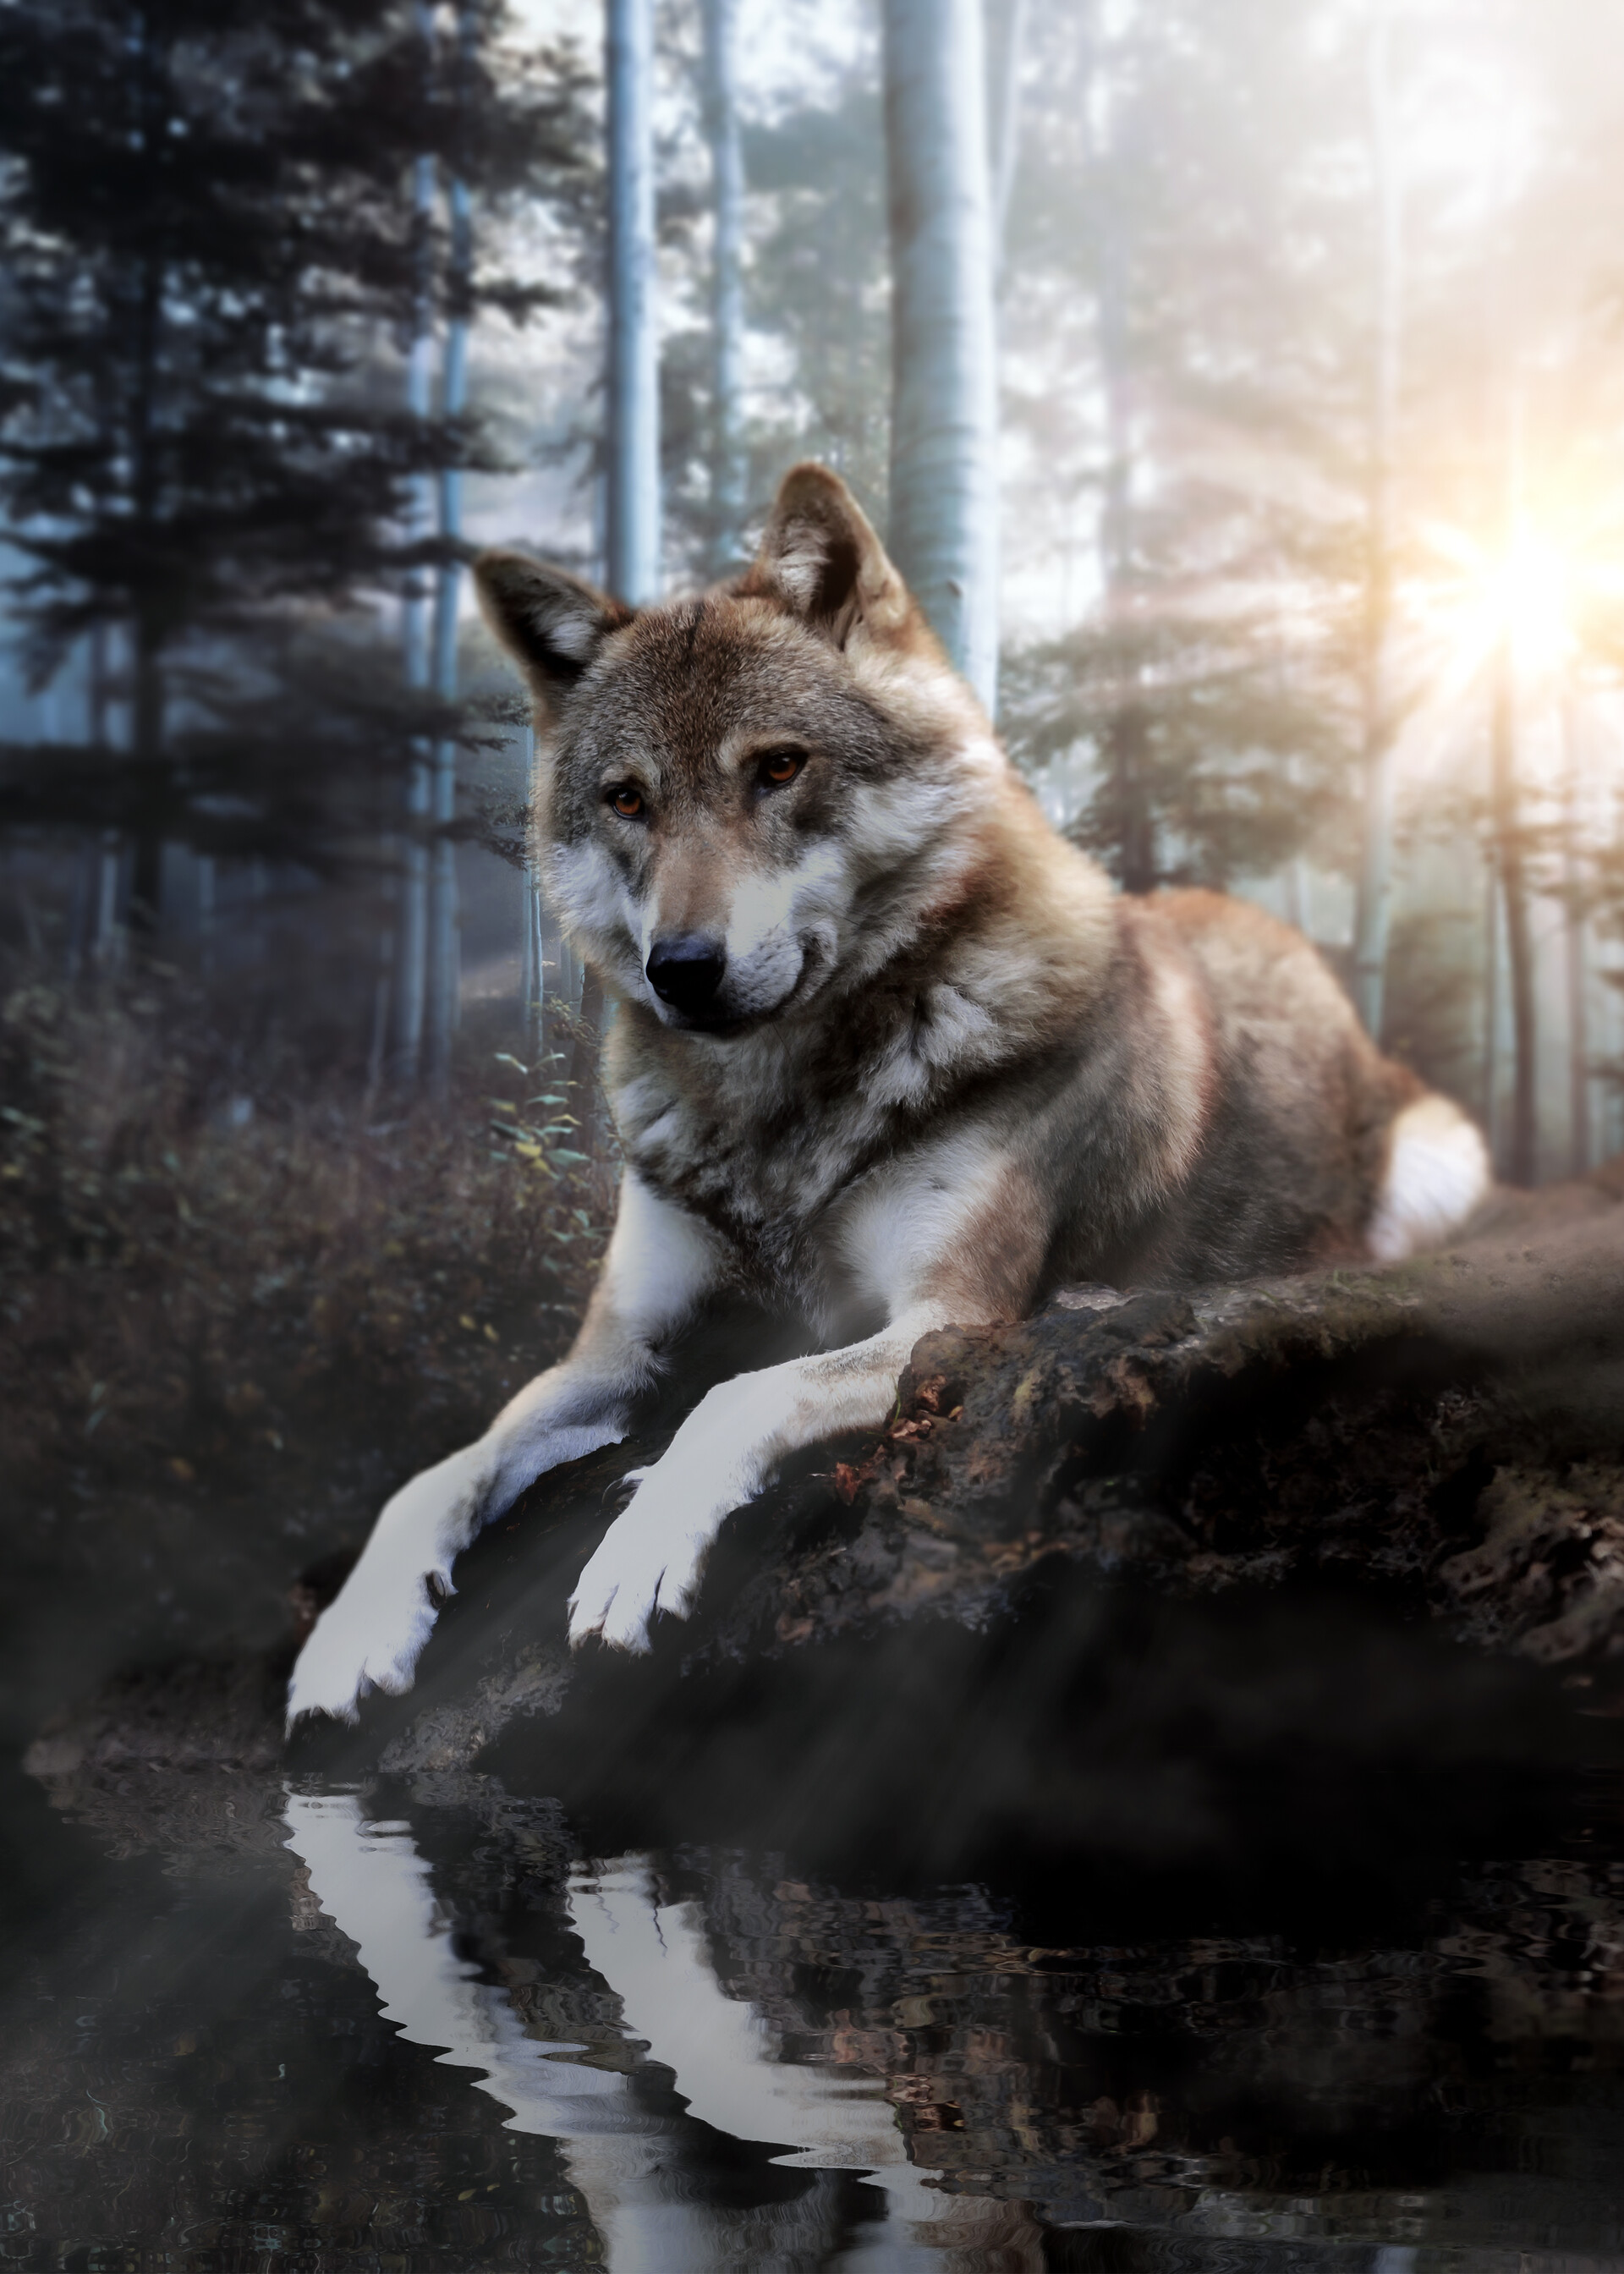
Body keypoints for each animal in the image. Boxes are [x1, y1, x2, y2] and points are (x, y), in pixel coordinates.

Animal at [286, 463, 1491, 1727]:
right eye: (626, 800)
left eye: (777, 767)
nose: (682, 968)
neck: (773, 1120)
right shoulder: (612, 1358)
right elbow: (437, 1472)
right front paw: (350, 1636)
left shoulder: (942, 1320)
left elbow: (737, 1394)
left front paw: (637, 1554)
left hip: (1433, 1161)